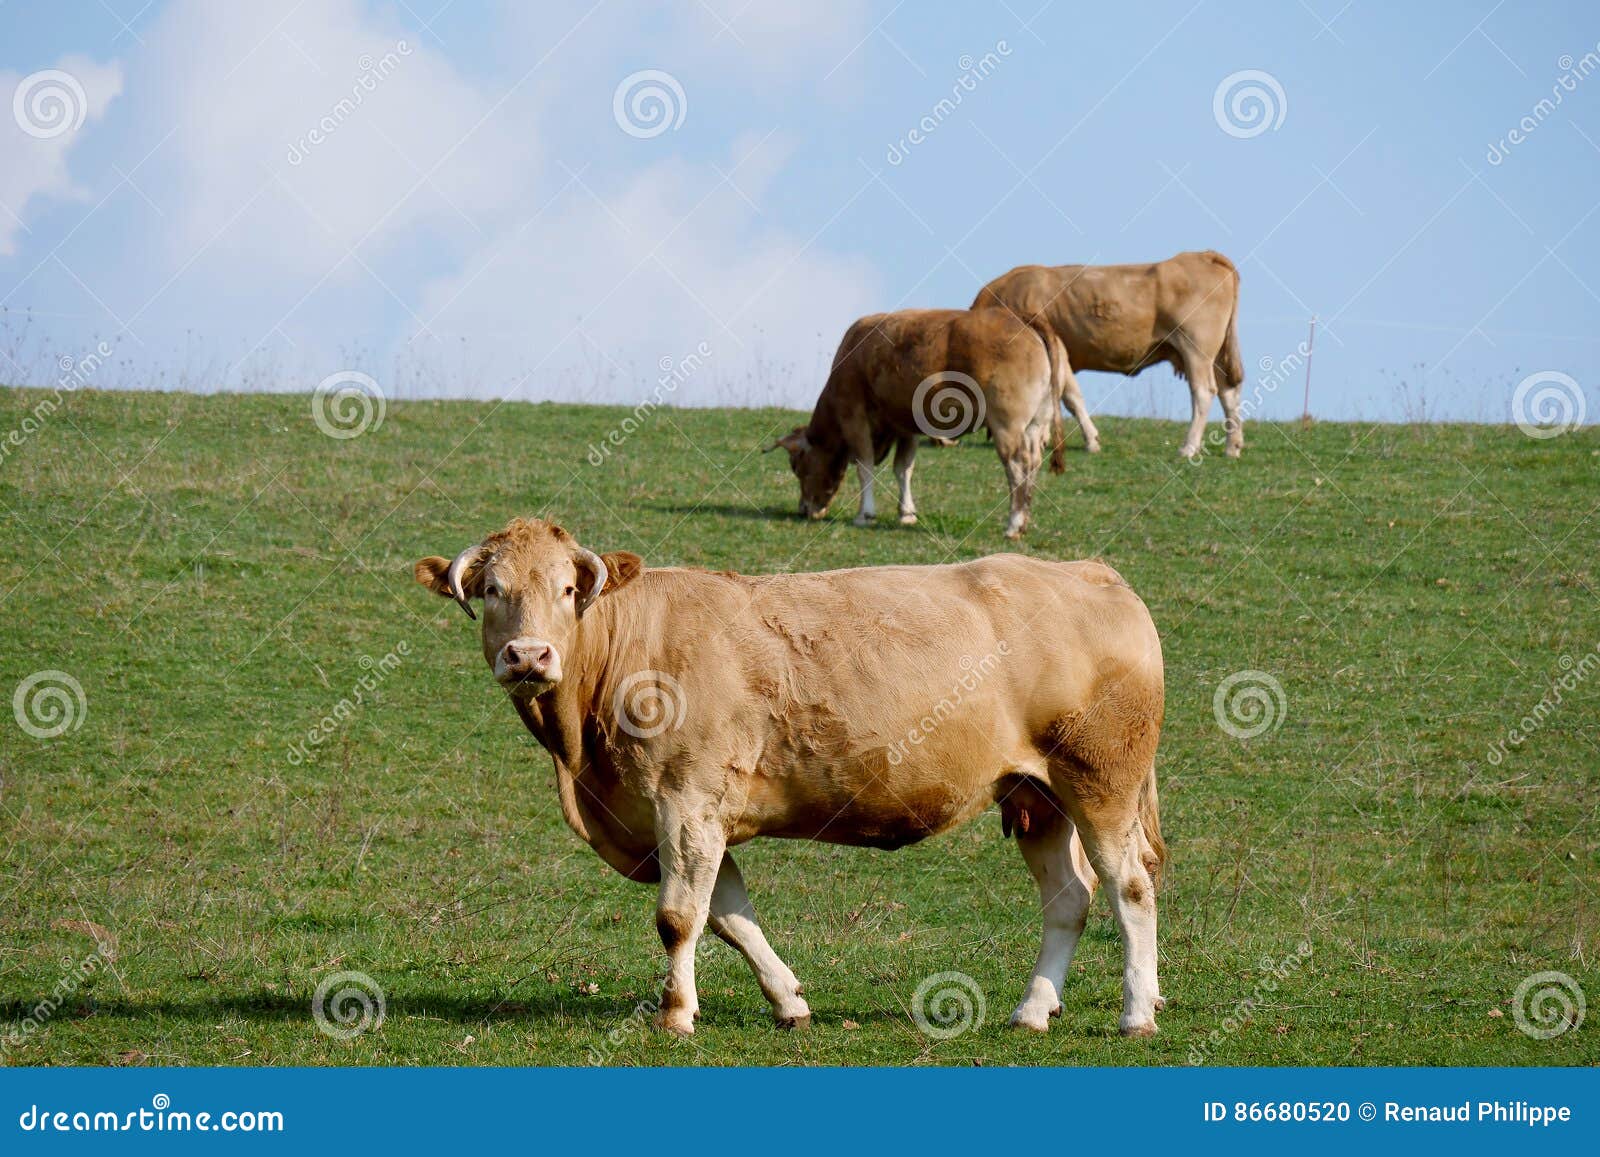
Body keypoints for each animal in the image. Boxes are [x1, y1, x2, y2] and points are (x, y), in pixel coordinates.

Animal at [414, 517, 1168, 1037]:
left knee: (1129, 886)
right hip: (1038, 795)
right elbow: (730, 915)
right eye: (492, 591)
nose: (529, 654)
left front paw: (675, 1014)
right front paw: (788, 1000)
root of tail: (1091, 572)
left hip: (1101, 780)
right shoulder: (685, 816)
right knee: (1069, 897)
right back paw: (1033, 1009)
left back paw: (1136, 1012)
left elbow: (678, 916)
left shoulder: (686, 800)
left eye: (568, 590)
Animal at [767, 308, 1066, 539]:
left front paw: (865, 514)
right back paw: (1023, 521)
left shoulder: (854, 416)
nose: (804, 509)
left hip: (1006, 423)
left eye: (796, 466)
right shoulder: (906, 426)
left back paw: (1013, 524)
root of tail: (1024, 319)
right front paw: (907, 513)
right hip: (1035, 424)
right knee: (1033, 463)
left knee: (1017, 466)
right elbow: (904, 468)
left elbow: (865, 467)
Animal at [972, 250, 1245, 459]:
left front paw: (1090, 441)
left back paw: (1188, 447)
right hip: (1217, 356)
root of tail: (1202, 255)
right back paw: (1232, 447)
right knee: (1228, 392)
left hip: (1196, 349)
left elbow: (1070, 397)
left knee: (1203, 393)